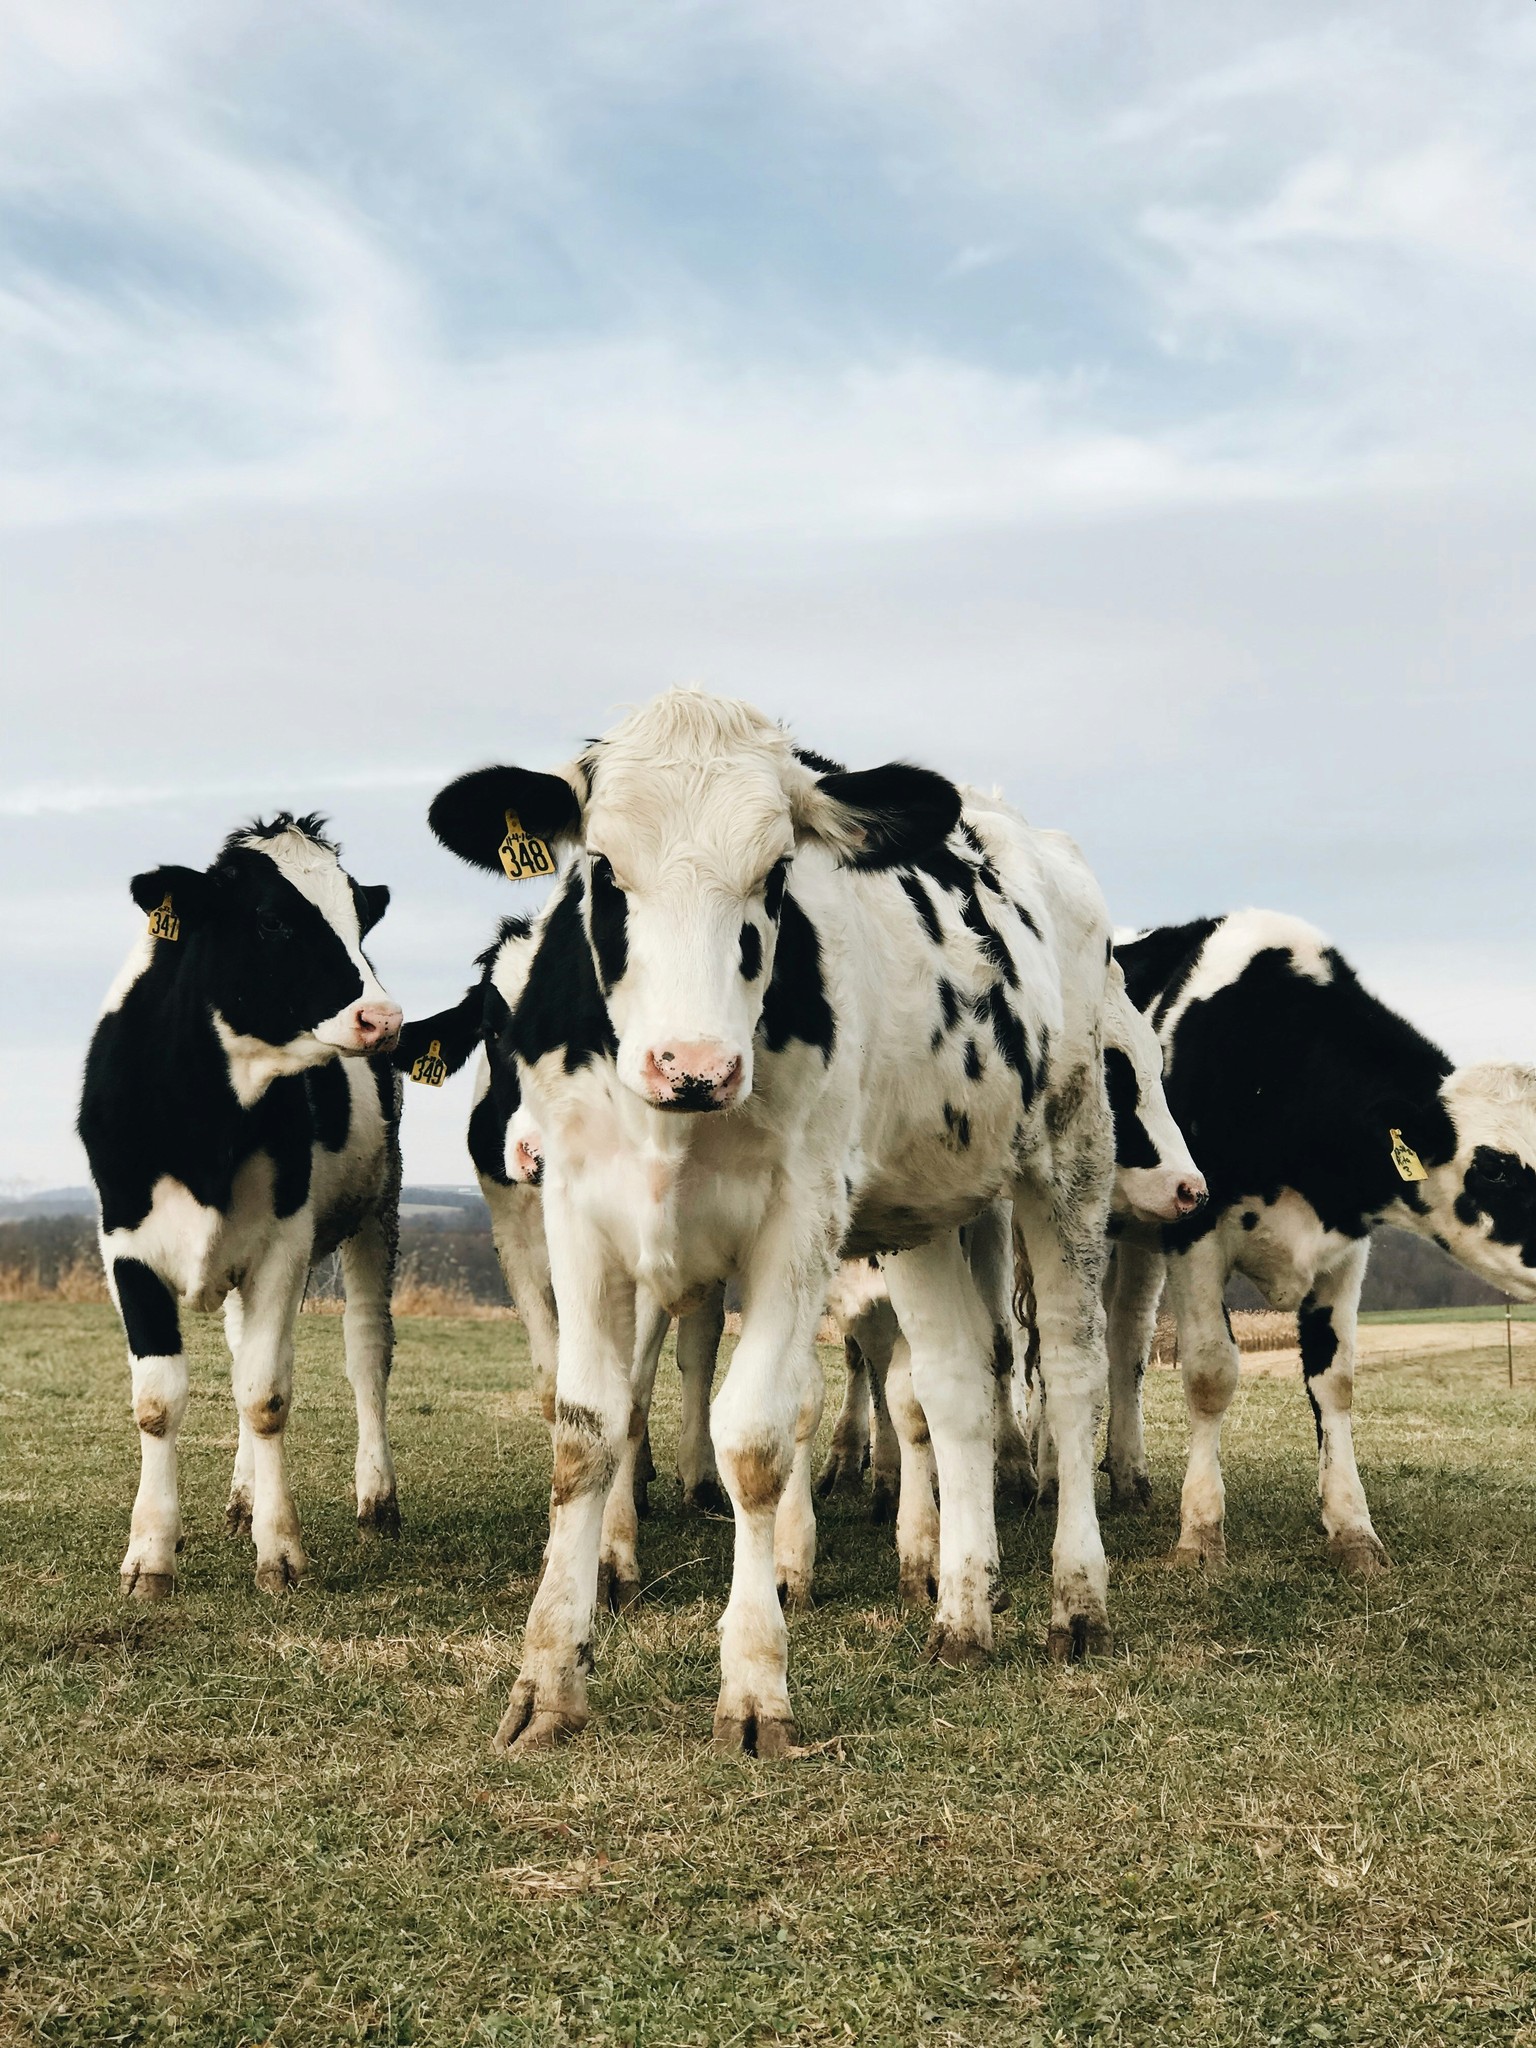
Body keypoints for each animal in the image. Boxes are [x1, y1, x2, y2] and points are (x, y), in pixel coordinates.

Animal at [78, 814, 404, 1599]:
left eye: (360, 919)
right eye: (272, 920)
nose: (383, 1018)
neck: (205, 1119)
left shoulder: (282, 1242)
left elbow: (265, 1396)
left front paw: (279, 1553)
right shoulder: (124, 1245)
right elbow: (158, 1400)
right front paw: (150, 1556)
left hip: (377, 1211)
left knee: (366, 1351)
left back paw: (376, 1498)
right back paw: (241, 1497)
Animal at [426, 689, 1128, 1758]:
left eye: (777, 874)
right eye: (602, 868)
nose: (693, 1065)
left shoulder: (800, 1220)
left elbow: (754, 1439)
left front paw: (754, 1685)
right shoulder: (579, 1212)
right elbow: (584, 1431)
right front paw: (548, 1680)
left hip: (1068, 1158)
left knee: (1074, 1372)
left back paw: (1077, 1600)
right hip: (924, 1208)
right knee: (957, 1389)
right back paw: (962, 1613)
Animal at [1106, 909, 1536, 1575]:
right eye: (1494, 1168)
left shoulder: (1346, 1249)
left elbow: (1335, 1381)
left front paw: (1352, 1527)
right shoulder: (1193, 1232)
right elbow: (1210, 1373)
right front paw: (1200, 1533)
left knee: (1125, 1338)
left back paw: (1127, 1478)